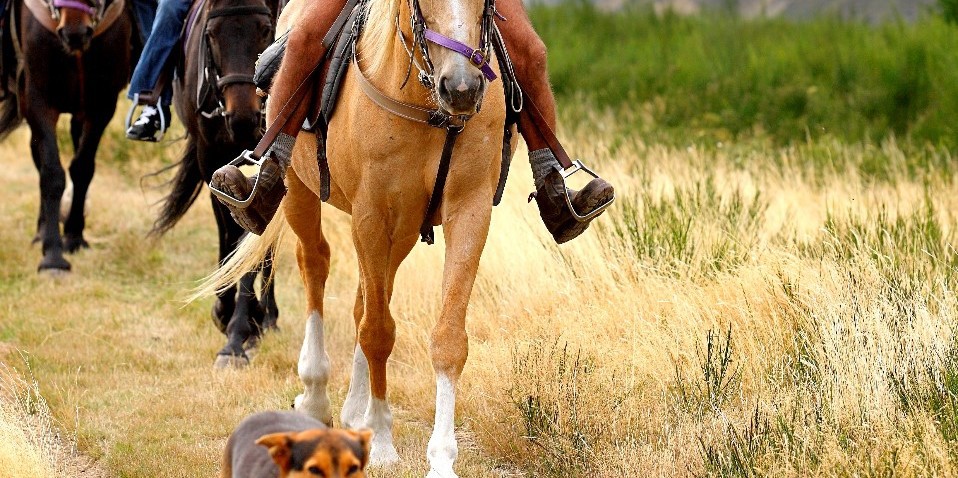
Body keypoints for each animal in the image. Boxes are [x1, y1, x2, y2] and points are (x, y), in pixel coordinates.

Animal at [0, 0, 132, 272]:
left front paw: (74, 237)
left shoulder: (100, 105)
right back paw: (41, 232)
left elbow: (82, 169)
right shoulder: (38, 101)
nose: (74, 31)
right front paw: (52, 256)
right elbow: (51, 173)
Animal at [149, 0, 279, 367]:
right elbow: (229, 235)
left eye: (265, 29)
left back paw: (267, 318)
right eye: (210, 35)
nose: (243, 118)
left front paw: (239, 334)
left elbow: (251, 240)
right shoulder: (210, 157)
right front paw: (225, 310)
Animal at [203, 0, 511, 473]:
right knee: (316, 265)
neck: (425, 104)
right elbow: (378, 332)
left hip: (401, 232)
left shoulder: (468, 211)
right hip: (299, 191)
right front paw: (381, 441)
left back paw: (353, 409)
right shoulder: (370, 214)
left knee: (365, 299)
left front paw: (441, 459)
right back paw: (315, 397)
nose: (461, 87)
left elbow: (447, 339)